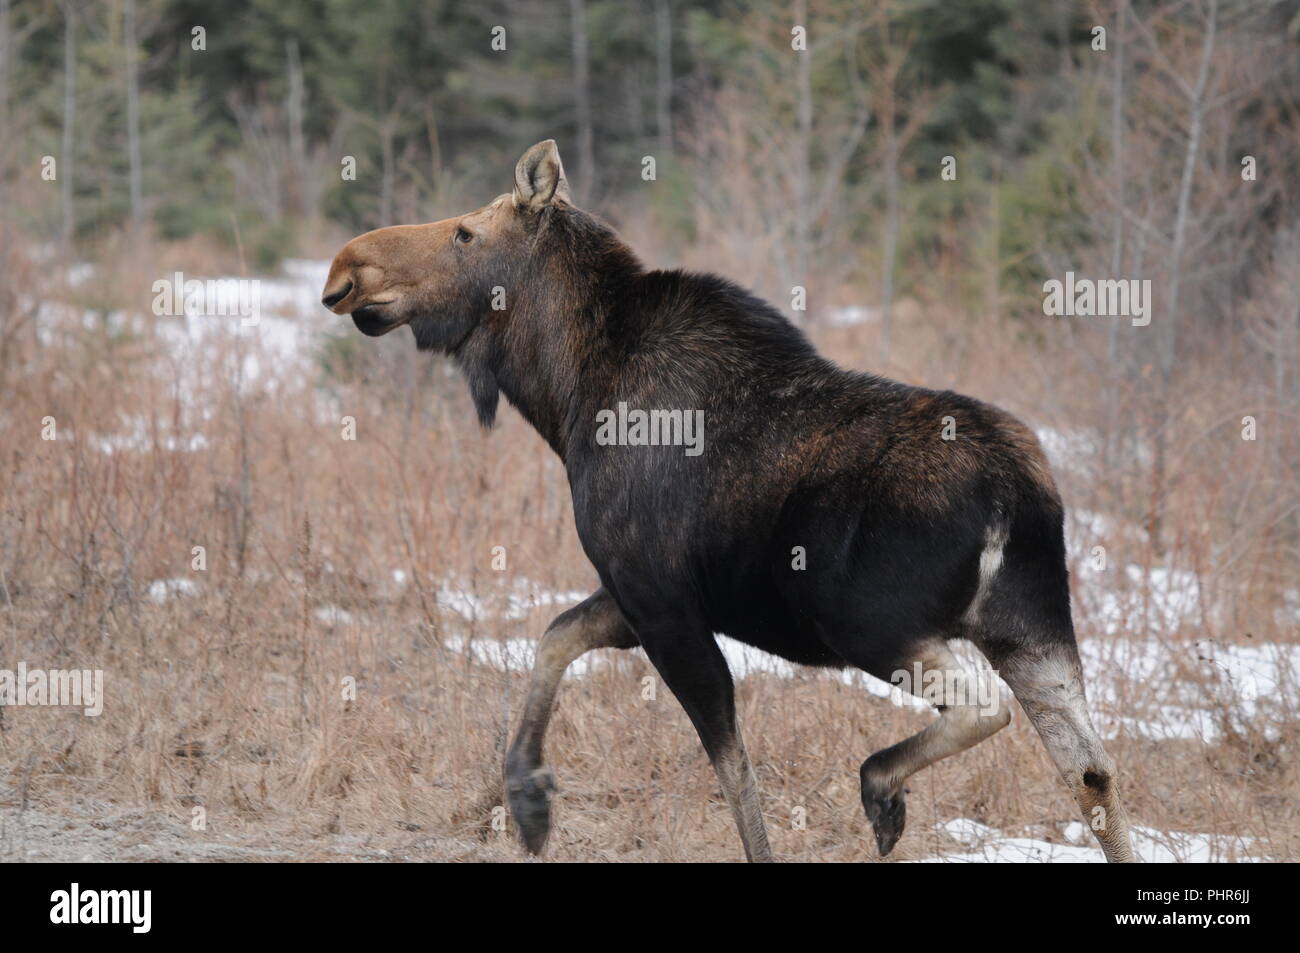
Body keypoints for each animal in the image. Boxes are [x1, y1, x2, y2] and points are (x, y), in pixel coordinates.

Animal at [321, 140, 1136, 863]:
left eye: (465, 233)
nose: (346, 269)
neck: (564, 397)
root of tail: (1016, 495)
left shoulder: (662, 603)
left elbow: (733, 770)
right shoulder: (635, 594)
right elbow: (554, 637)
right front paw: (528, 802)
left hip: (866, 619)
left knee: (986, 708)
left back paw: (880, 787)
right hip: (1035, 632)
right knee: (1093, 771)